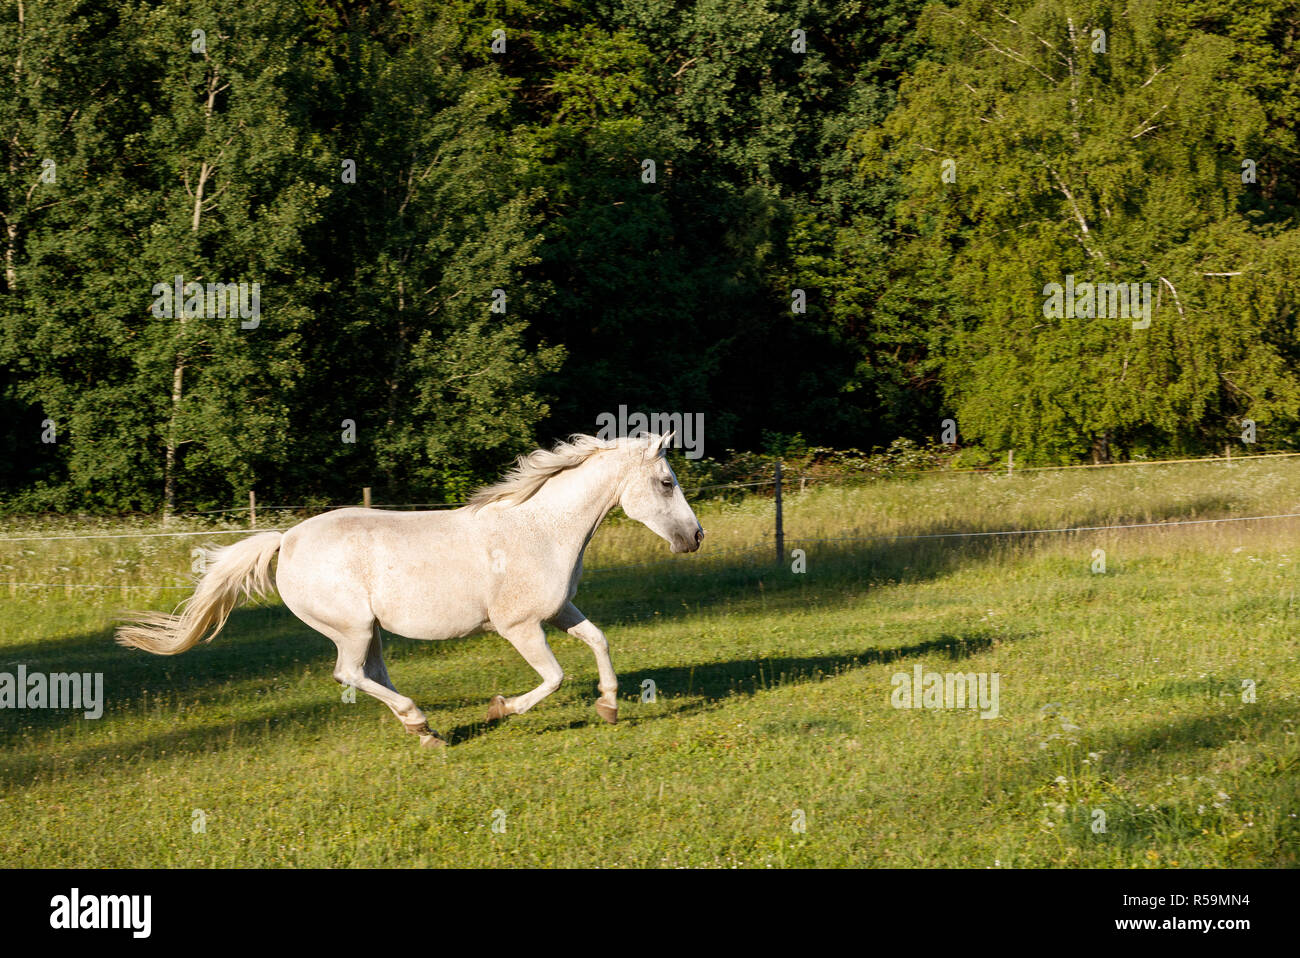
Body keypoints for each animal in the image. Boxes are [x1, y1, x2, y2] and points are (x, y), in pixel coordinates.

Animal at [115, 432, 704, 746]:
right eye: (666, 482)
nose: (695, 536)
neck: (540, 528)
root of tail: (286, 539)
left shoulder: (560, 611)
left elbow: (599, 640)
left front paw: (609, 707)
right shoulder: (520, 628)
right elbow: (554, 678)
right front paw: (498, 709)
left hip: (370, 630)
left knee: (371, 674)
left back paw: (425, 731)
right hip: (351, 629)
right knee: (349, 674)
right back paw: (421, 722)